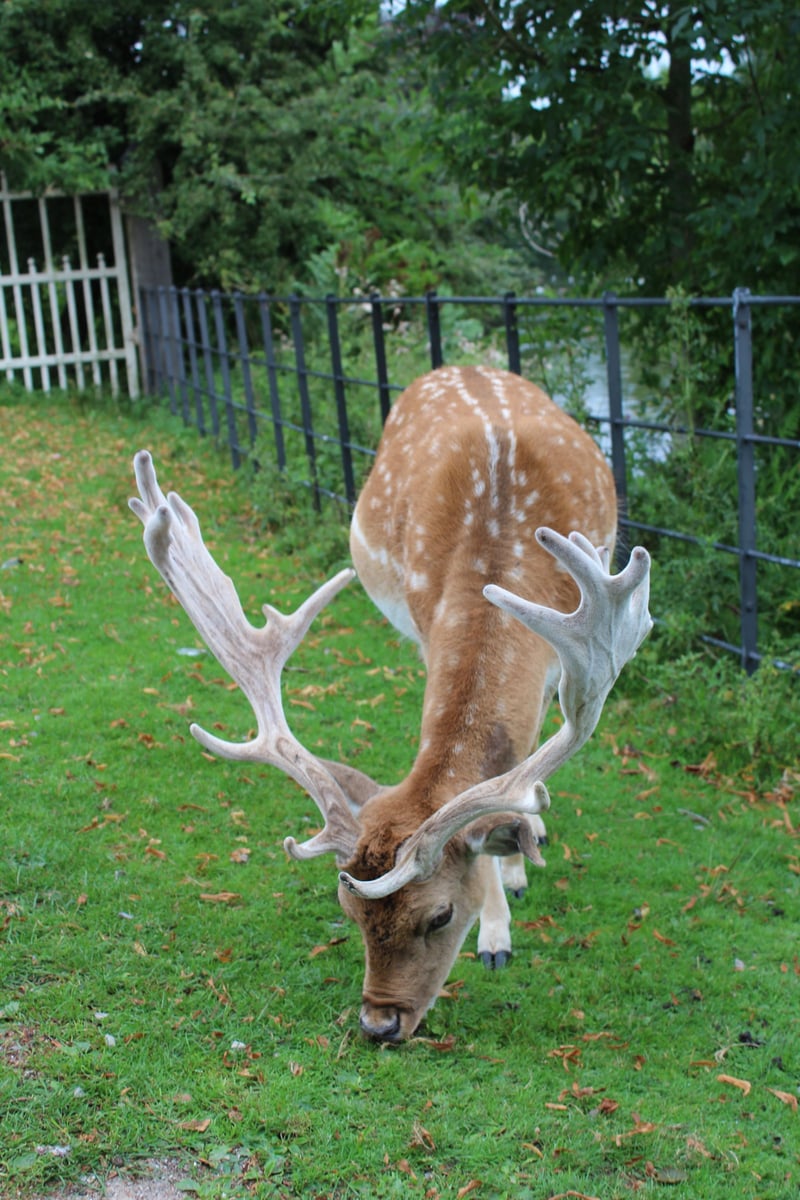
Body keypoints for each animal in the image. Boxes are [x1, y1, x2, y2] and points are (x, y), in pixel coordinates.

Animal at [129, 363, 651, 1044]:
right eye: (348, 910)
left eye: (440, 916)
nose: (379, 1023)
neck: (502, 555)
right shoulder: (427, 623)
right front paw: (501, 910)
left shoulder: (558, 661)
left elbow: (511, 774)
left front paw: (501, 922)